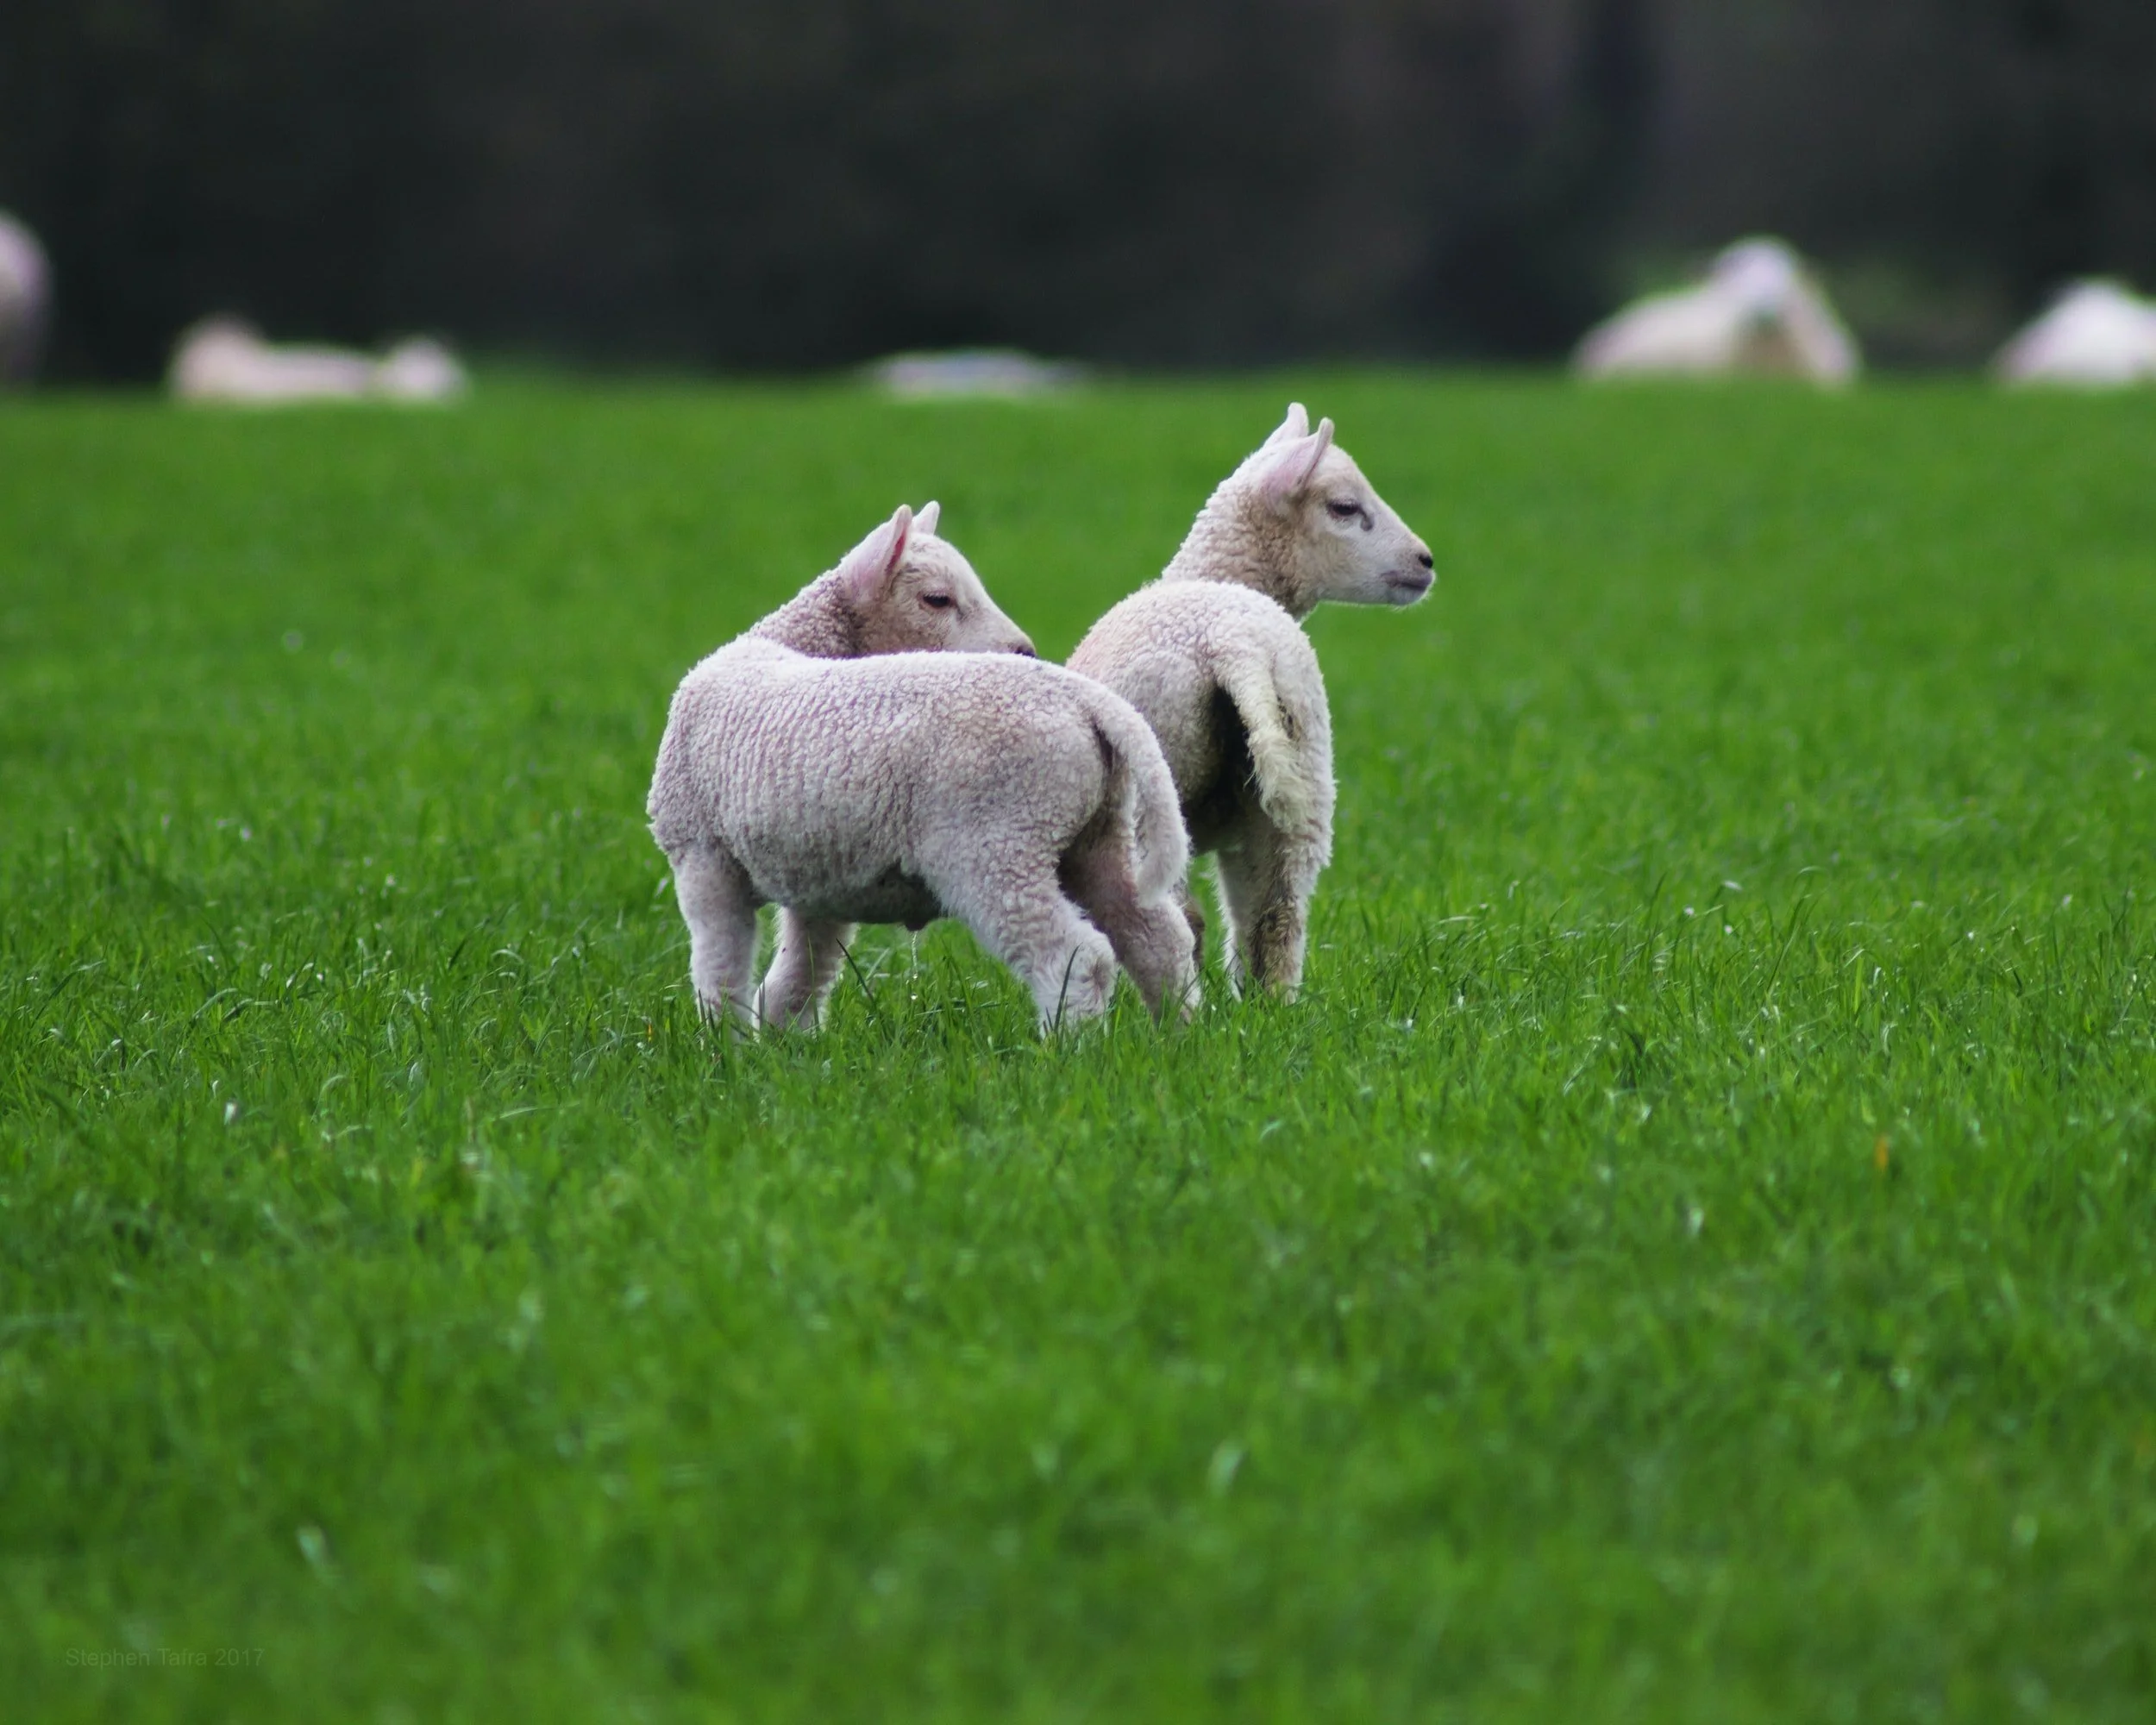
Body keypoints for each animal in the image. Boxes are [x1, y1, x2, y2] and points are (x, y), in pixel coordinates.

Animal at [648, 502, 1198, 1034]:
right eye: (937, 600)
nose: (1025, 650)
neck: (789, 643)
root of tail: (1084, 698)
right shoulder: (819, 873)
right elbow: (799, 974)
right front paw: (784, 1048)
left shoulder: (702, 857)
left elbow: (721, 973)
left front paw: (727, 1049)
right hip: (1097, 836)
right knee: (1158, 938)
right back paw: (1178, 1036)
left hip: (995, 843)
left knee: (1073, 956)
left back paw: (1069, 1049)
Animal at [1066, 403, 1434, 998]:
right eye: (1344, 507)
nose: (1426, 561)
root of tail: (1228, 640)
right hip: (1297, 778)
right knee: (1274, 918)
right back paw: (1267, 1011)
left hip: (1157, 789)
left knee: (1181, 918)